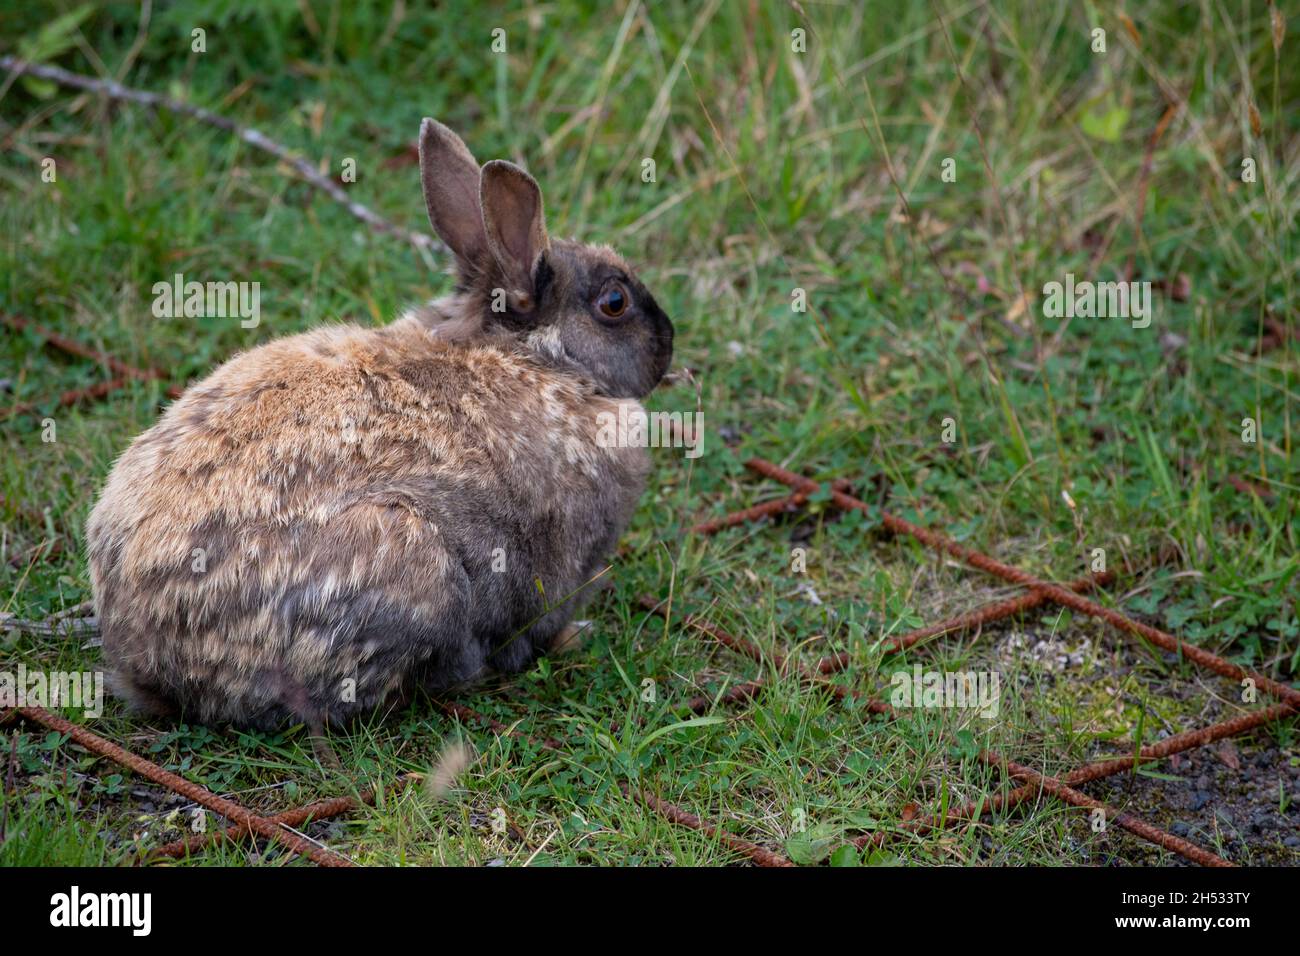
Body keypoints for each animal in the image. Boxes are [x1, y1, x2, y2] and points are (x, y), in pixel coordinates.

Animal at [86, 118, 674, 736]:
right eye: (615, 302)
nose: (669, 344)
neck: (534, 358)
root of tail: (146, 657)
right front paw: (571, 637)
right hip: (410, 564)